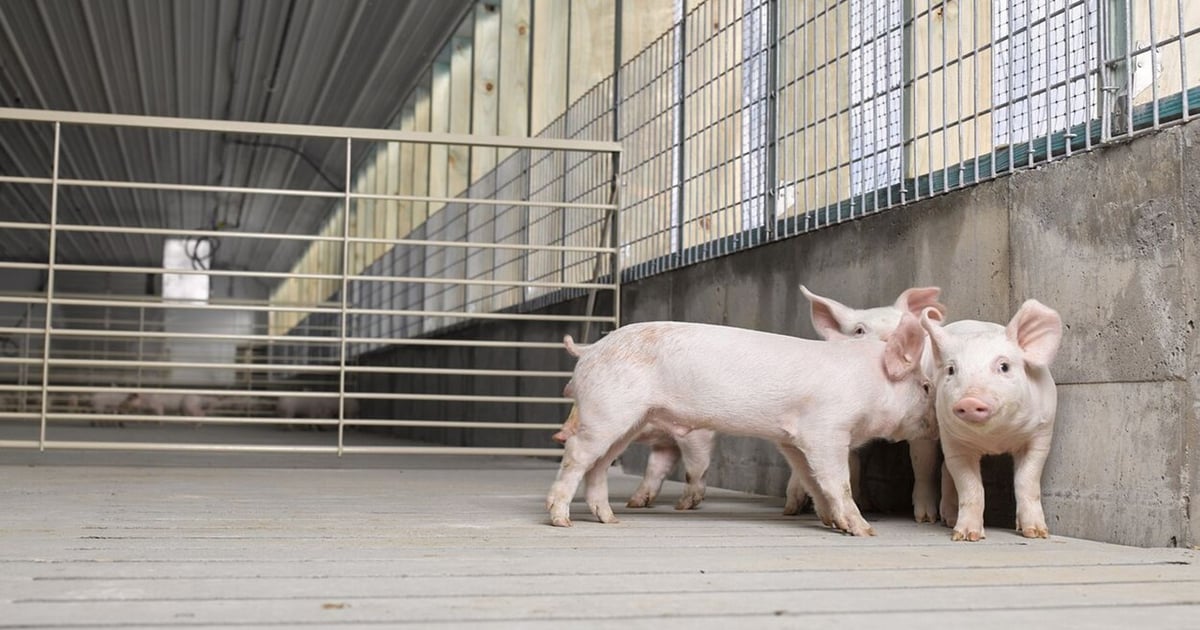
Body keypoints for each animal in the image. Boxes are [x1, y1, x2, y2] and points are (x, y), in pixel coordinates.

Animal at [552, 285, 945, 518]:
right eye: (859, 331)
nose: (937, 425)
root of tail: (590, 350)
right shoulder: (822, 428)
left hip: (625, 421)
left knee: (600, 463)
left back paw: (611, 517)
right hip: (607, 410)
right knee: (578, 456)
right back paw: (562, 519)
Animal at [919, 300, 1062, 541]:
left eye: (1004, 366)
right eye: (951, 370)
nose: (969, 400)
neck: (995, 440)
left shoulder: (1041, 433)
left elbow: (1026, 481)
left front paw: (1036, 534)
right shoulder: (953, 440)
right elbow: (971, 487)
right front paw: (966, 536)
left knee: (944, 468)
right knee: (929, 465)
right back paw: (932, 519)